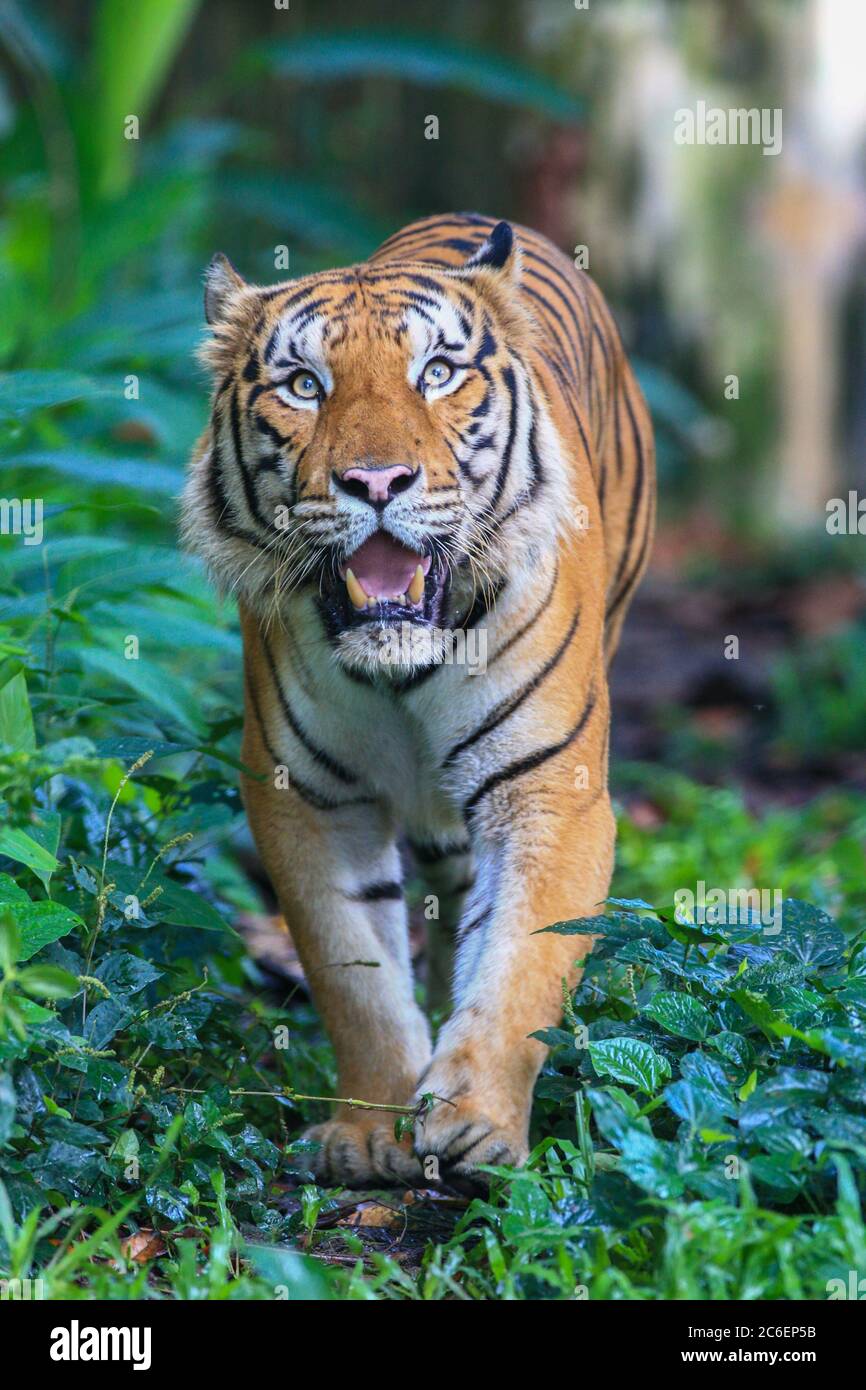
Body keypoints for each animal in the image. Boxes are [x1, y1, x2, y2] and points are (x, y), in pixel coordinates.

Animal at [181, 212, 655, 1188]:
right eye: (304, 385)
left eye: (435, 373)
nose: (376, 483)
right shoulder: (307, 798)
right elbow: (352, 971)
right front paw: (371, 1132)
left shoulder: (549, 790)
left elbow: (523, 960)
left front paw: (477, 1122)